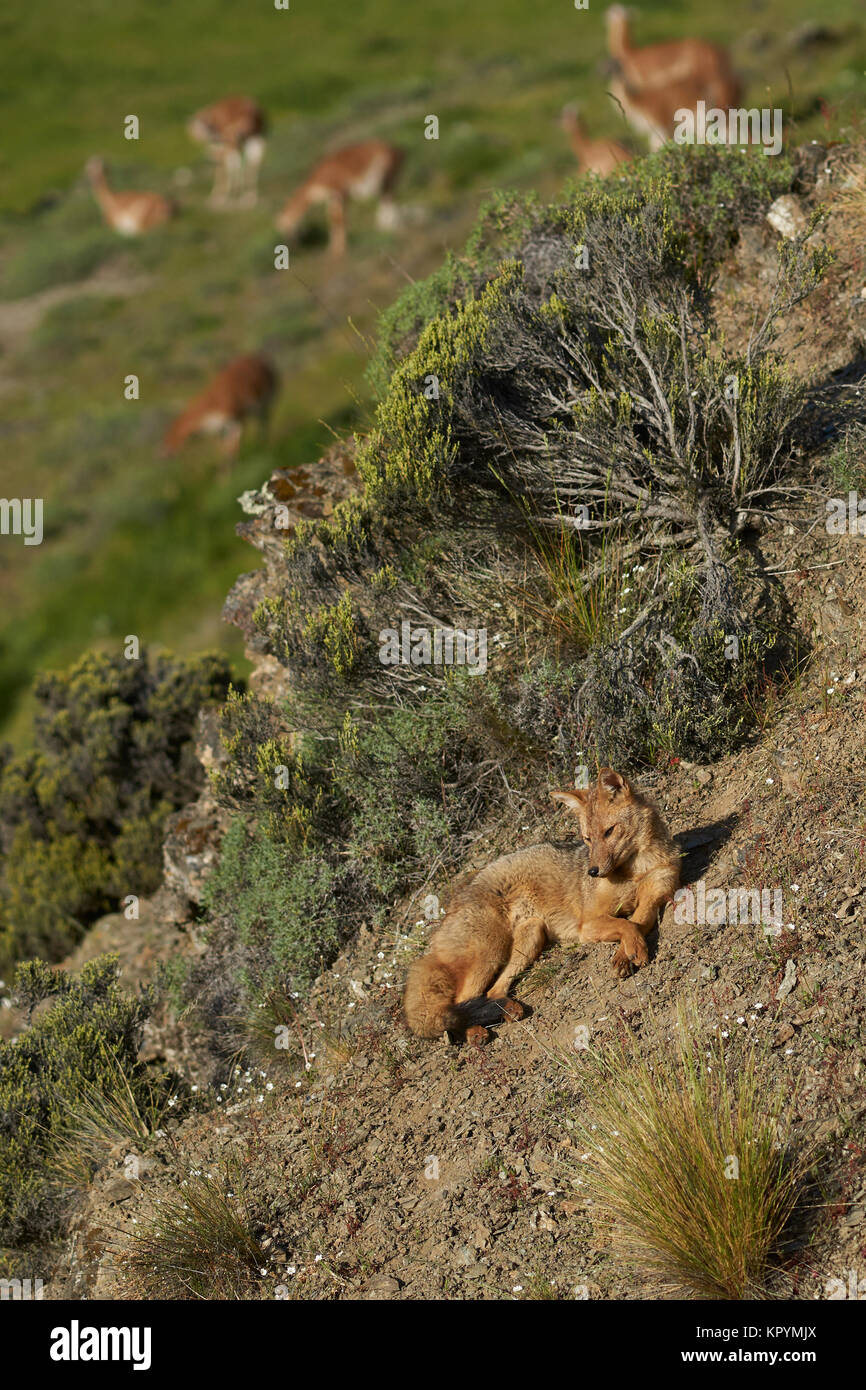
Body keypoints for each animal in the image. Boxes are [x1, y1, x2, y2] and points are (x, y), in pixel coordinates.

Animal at [403, 768, 680, 1044]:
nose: (592, 871)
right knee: (462, 1001)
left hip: (531, 938)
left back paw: (508, 1010)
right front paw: (631, 952)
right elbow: (626, 925)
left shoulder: (657, 892)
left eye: (609, 831)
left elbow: (637, 922)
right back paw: (474, 1032)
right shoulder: (588, 923)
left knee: (492, 992)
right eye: (587, 839)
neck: (635, 872)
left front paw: (626, 954)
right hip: (491, 951)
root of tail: (448, 912)